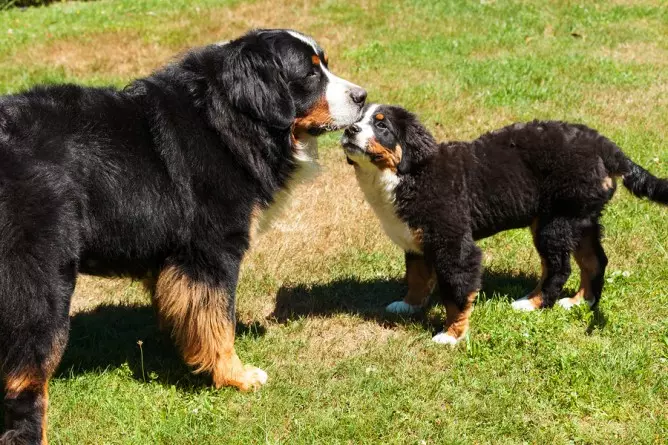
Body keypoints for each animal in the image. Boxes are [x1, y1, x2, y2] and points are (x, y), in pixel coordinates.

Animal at [0, 29, 366, 442]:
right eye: (310, 73)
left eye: (326, 64)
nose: (362, 96)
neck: (231, 118)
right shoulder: (212, 250)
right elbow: (219, 319)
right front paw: (235, 375)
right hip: (41, 279)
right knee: (26, 377)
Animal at [342, 105, 664, 346]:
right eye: (357, 118)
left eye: (382, 126)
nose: (350, 130)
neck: (409, 174)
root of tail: (605, 146)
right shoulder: (416, 240)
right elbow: (417, 276)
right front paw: (408, 305)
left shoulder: (454, 244)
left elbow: (455, 293)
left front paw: (451, 334)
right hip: (579, 217)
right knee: (594, 261)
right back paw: (579, 302)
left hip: (554, 222)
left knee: (559, 268)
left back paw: (532, 303)